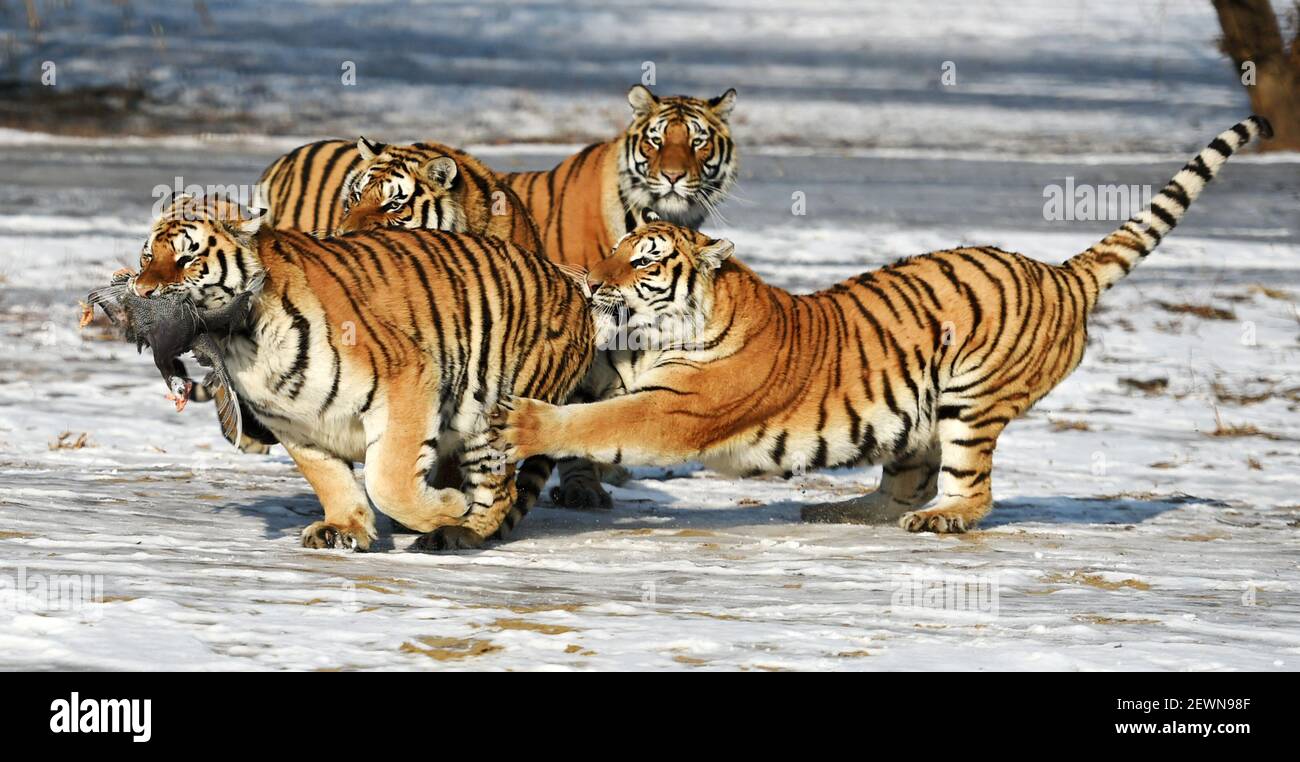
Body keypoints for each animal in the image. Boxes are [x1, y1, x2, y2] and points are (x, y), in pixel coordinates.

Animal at [130, 195, 594, 550]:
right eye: (148, 256)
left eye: (188, 258)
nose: (142, 292)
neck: (242, 341)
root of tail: (574, 290)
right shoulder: (297, 422)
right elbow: (330, 478)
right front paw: (344, 528)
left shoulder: (408, 379)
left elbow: (388, 480)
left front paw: (445, 507)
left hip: (491, 411)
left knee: (500, 489)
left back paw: (458, 531)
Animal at [490, 117, 1272, 534]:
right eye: (616, 248)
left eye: (644, 261)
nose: (592, 283)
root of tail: (1056, 271)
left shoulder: (676, 409)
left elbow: (597, 422)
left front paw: (526, 422)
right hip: (916, 414)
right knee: (908, 480)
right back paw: (837, 512)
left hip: (972, 400)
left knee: (967, 488)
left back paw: (939, 520)